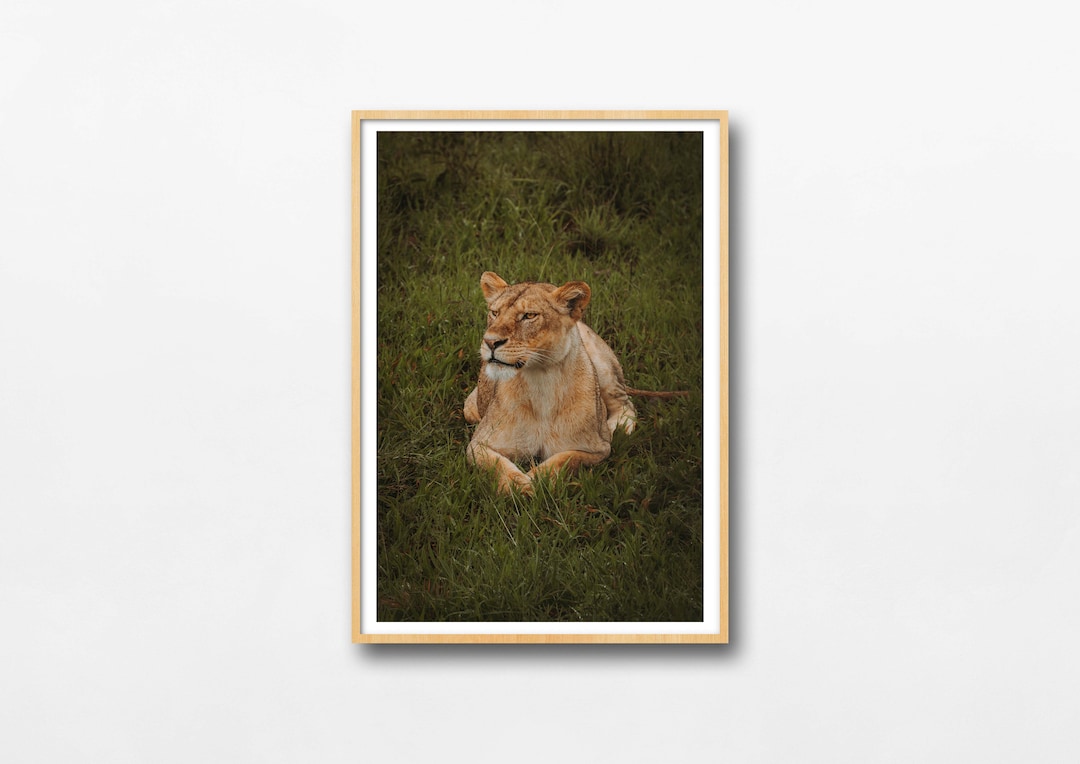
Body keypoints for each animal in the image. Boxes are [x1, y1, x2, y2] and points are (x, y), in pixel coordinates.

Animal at [463, 271, 641, 494]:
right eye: (494, 313)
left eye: (529, 316)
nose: (490, 342)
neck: (541, 379)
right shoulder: (478, 444)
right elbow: (495, 464)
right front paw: (519, 485)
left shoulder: (598, 449)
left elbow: (566, 459)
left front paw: (537, 481)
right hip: (471, 407)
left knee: (626, 403)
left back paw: (615, 428)